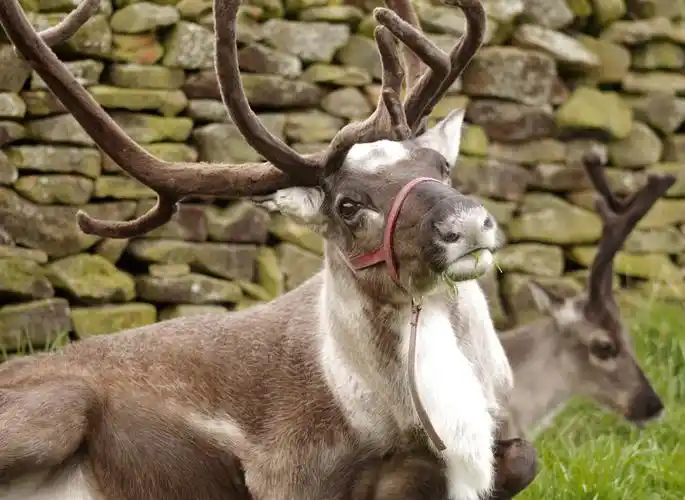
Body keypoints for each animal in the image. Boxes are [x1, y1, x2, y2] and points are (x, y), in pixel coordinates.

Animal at [0, 0, 538, 499]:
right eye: (347, 204)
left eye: (440, 166)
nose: (467, 224)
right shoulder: (286, 470)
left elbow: (524, 459)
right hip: (63, 406)